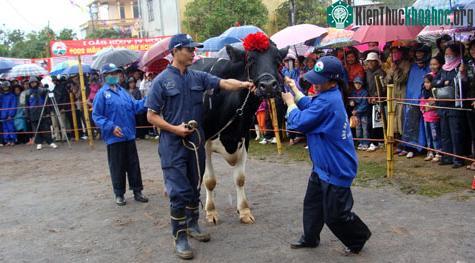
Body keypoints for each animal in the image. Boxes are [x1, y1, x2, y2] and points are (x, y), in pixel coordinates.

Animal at [191, 38, 288, 226]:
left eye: (278, 60)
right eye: (250, 60)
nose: (268, 86)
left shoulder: (244, 138)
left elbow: (240, 178)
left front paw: (244, 211)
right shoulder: (204, 141)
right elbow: (209, 180)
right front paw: (211, 211)